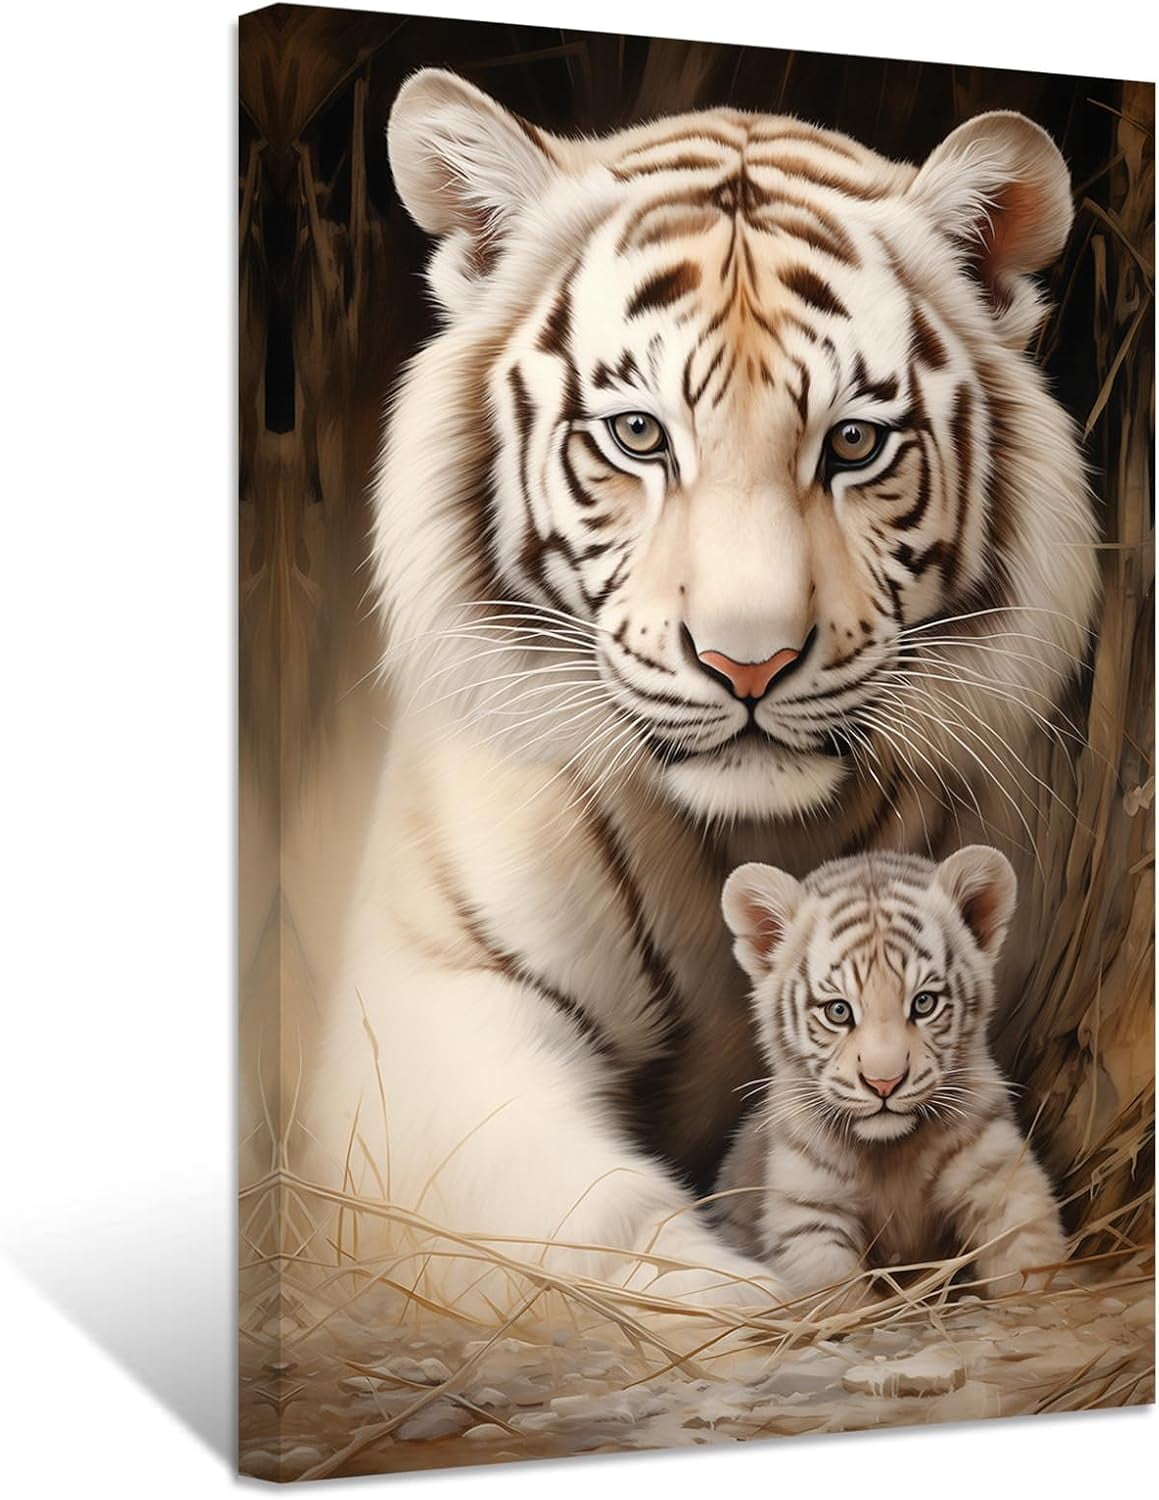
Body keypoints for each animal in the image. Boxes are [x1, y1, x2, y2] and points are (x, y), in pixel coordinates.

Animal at [714, 846, 1066, 1309]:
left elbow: (1028, 1249)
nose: (884, 1083)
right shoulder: (809, 1212)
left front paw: (1041, 1302)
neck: (890, 1152)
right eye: (838, 1010)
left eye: (924, 1003)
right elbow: (835, 1295)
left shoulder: (997, 1173)